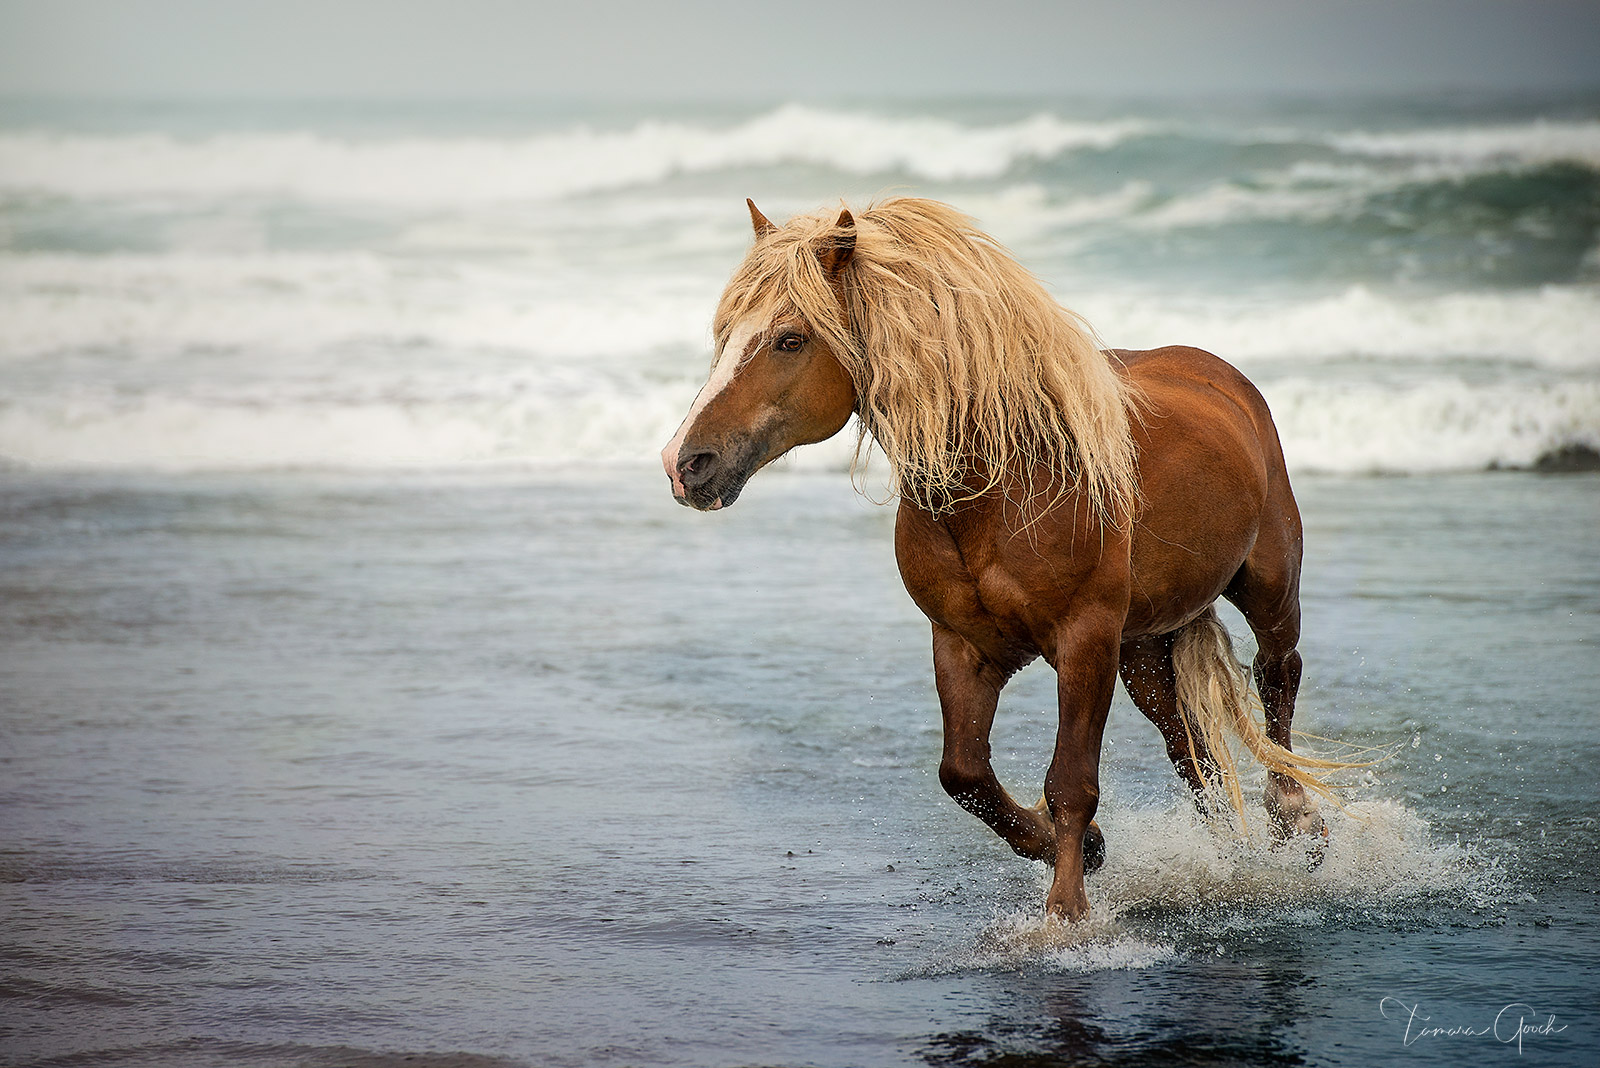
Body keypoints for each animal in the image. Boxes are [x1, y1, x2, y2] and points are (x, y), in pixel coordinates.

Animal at [660, 197, 1348, 920]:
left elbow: (1071, 781)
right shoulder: (964, 644)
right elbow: (965, 776)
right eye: (725, 334)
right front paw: (1081, 849)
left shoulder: (1084, 640)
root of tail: (1221, 376)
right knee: (1189, 748)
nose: (685, 462)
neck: (999, 482)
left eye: (790, 339)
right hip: (1143, 647)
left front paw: (1066, 914)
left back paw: (1297, 820)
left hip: (1268, 586)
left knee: (1278, 677)